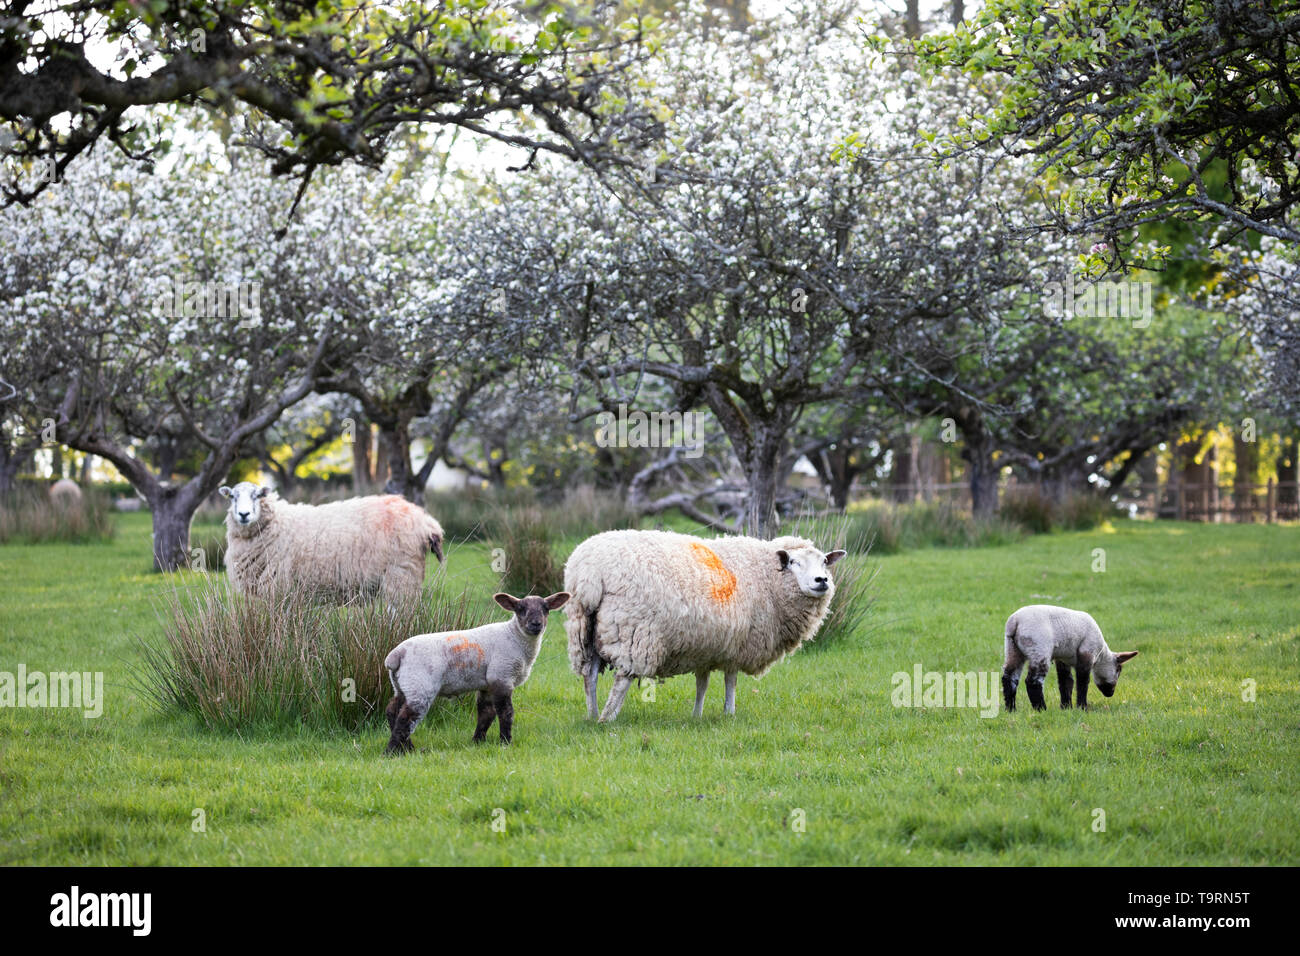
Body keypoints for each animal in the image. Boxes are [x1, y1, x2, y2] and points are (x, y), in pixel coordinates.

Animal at [217, 481, 444, 604]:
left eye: (256, 496)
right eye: (232, 497)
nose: (243, 514)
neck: (276, 523)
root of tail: (424, 520)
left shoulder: (278, 586)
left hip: (401, 574)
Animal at [383, 591, 570, 753]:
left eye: (545, 608)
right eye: (520, 609)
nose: (536, 624)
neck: (515, 637)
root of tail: (396, 655)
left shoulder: (487, 684)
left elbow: (486, 714)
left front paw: (478, 741)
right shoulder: (501, 676)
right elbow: (506, 712)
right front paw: (505, 742)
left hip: (402, 685)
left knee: (392, 710)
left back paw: (407, 749)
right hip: (421, 685)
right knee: (406, 718)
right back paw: (391, 752)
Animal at [563, 529, 846, 722]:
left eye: (824, 562)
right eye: (794, 563)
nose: (822, 581)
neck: (766, 578)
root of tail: (589, 573)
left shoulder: (707, 646)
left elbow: (702, 683)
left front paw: (696, 715)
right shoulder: (738, 644)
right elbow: (731, 681)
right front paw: (729, 713)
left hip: (584, 629)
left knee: (589, 676)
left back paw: (592, 714)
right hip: (634, 632)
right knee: (622, 679)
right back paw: (607, 718)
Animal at [1002, 604, 1138, 711]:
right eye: (1118, 670)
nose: (1110, 694)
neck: (1101, 654)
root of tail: (1015, 622)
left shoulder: (1063, 659)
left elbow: (1066, 682)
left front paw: (1066, 707)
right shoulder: (1087, 653)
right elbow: (1082, 683)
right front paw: (1082, 707)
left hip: (1012, 649)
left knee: (1009, 677)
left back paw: (1011, 710)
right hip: (1039, 649)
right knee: (1032, 681)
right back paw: (1041, 709)